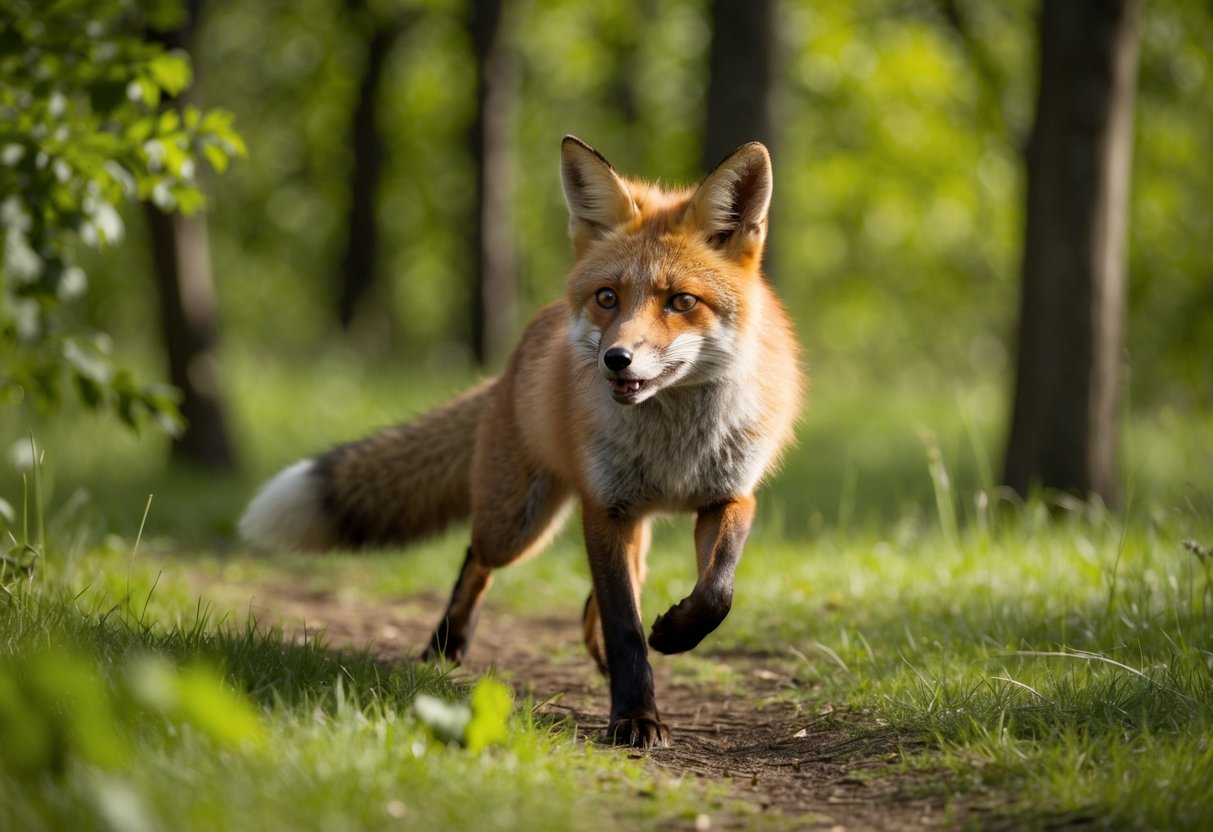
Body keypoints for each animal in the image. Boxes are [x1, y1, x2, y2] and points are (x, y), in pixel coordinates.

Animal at [239, 136, 804, 748]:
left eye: (681, 301)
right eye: (608, 297)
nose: (616, 359)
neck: (673, 448)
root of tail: (511, 362)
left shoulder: (729, 496)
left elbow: (715, 594)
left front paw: (674, 634)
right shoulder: (604, 508)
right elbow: (626, 627)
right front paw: (634, 716)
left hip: (617, 524)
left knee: (614, 588)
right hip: (518, 526)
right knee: (477, 557)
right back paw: (448, 643)